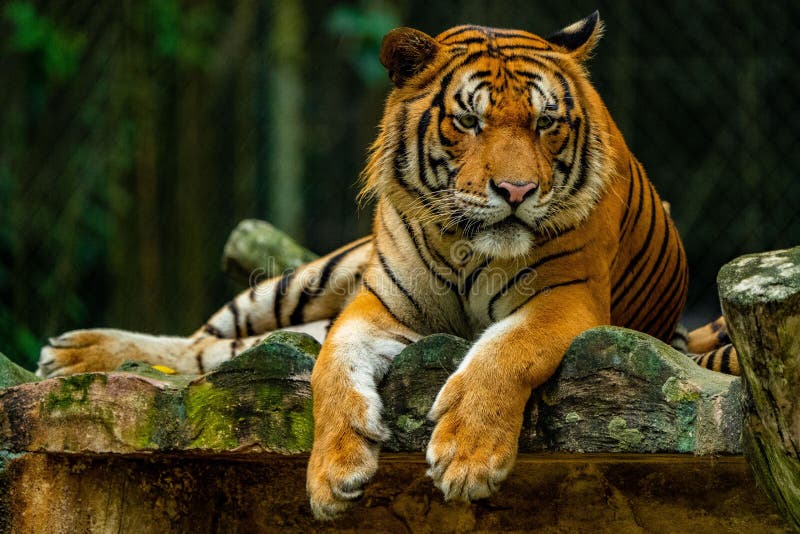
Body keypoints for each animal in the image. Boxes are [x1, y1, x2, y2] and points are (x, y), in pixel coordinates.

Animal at [37, 12, 740, 520]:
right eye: (468, 121)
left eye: (546, 123)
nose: (516, 191)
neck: (469, 248)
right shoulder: (377, 302)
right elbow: (331, 369)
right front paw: (332, 475)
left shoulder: (567, 299)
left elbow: (504, 352)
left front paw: (466, 458)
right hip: (310, 280)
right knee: (202, 343)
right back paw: (74, 353)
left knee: (218, 352)